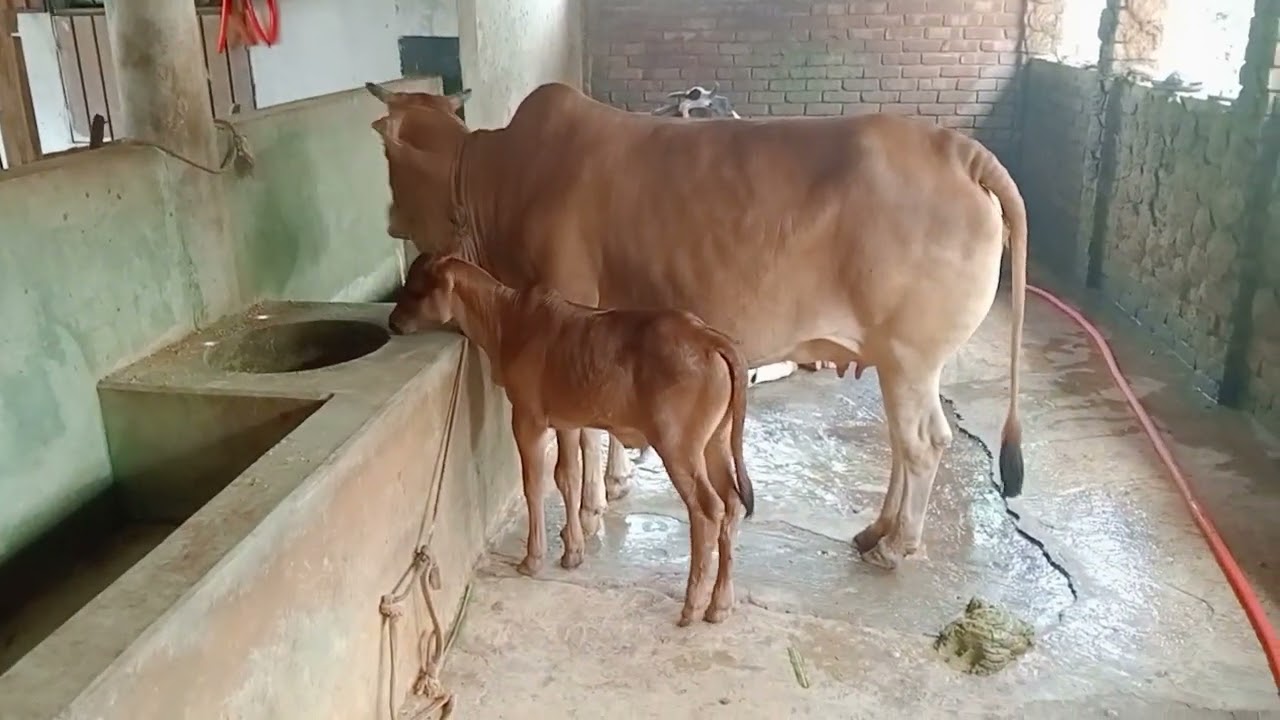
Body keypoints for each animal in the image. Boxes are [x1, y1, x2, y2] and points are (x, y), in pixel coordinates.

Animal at [365, 80, 1027, 571]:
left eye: (388, 156)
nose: (391, 218)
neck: (498, 178)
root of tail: (962, 152)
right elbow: (603, 423)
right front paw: (615, 484)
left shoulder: (571, 304)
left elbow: (580, 438)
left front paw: (586, 514)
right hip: (896, 360)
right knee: (901, 442)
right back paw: (876, 530)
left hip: (911, 355)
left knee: (922, 443)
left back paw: (895, 544)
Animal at [388, 253, 754, 625]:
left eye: (416, 289)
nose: (393, 322)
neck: (507, 319)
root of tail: (710, 337)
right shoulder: (566, 421)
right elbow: (568, 477)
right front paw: (573, 551)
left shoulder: (528, 417)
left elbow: (534, 484)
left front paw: (533, 559)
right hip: (715, 442)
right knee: (732, 503)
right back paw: (720, 604)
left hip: (679, 446)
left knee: (708, 510)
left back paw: (692, 604)